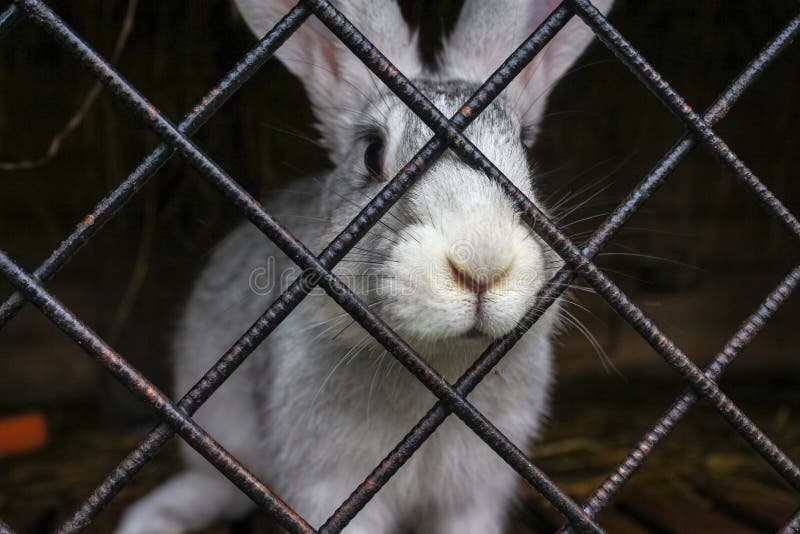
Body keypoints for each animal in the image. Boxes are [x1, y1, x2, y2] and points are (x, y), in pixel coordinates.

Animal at [116, 0, 612, 532]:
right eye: (373, 153)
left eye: (524, 150)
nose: (482, 264)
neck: (438, 365)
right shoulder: (331, 486)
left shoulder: (472, 497)